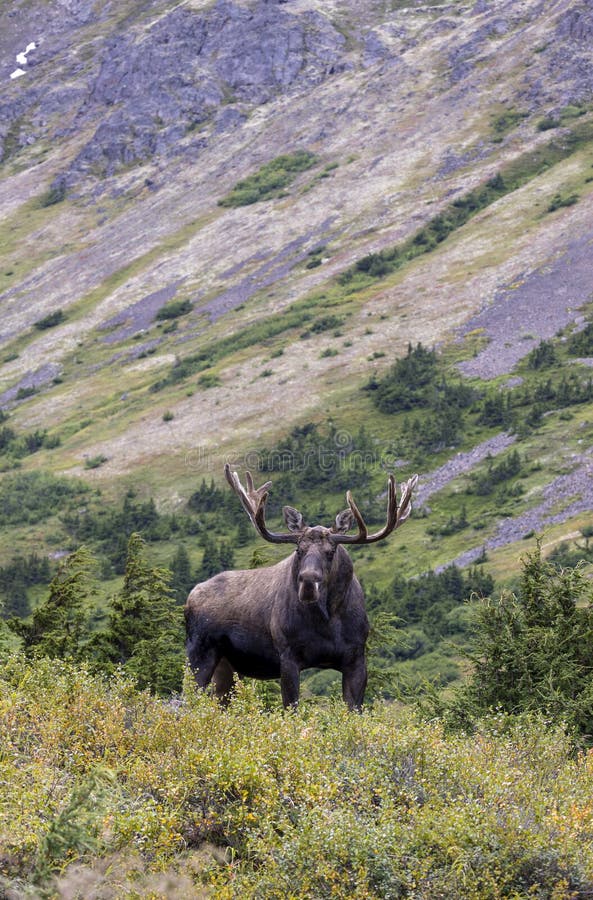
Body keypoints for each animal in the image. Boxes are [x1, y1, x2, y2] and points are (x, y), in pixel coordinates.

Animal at [185, 464, 418, 708]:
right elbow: (291, 708)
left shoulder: (356, 657)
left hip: (226, 665)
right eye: (299, 549)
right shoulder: (288, 656)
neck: (328, 620)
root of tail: (190, 597)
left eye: (330, 552)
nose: (308, 582)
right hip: (199, 651)